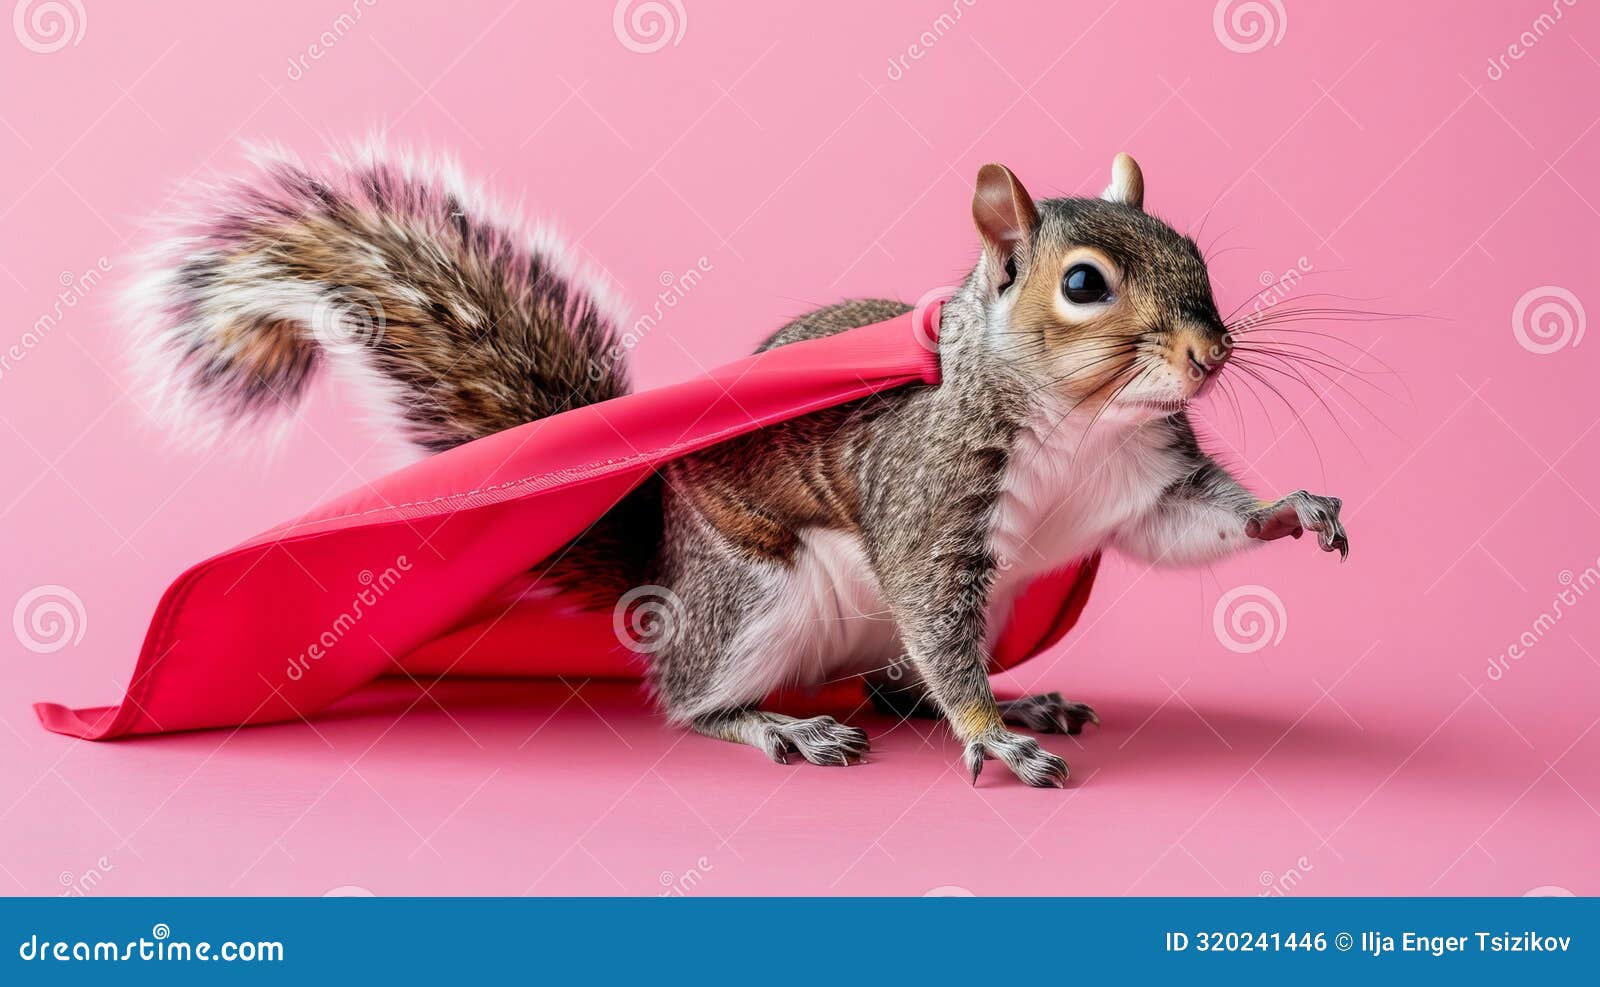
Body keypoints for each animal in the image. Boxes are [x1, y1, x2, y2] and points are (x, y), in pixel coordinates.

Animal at [126, 141, 1348, 787]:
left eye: (1192, 252)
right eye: (1084, 283)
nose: (1210, 352)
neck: (1080, 417)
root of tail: (658, 576)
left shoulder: (1149, 479)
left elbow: (1195, 530)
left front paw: (1291, 511)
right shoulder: (930, 500)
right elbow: (936, 621)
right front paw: (990, 737)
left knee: (896, 679)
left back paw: (1015, 694)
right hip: (753, 601)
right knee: (695, 698)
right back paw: (779, 723)